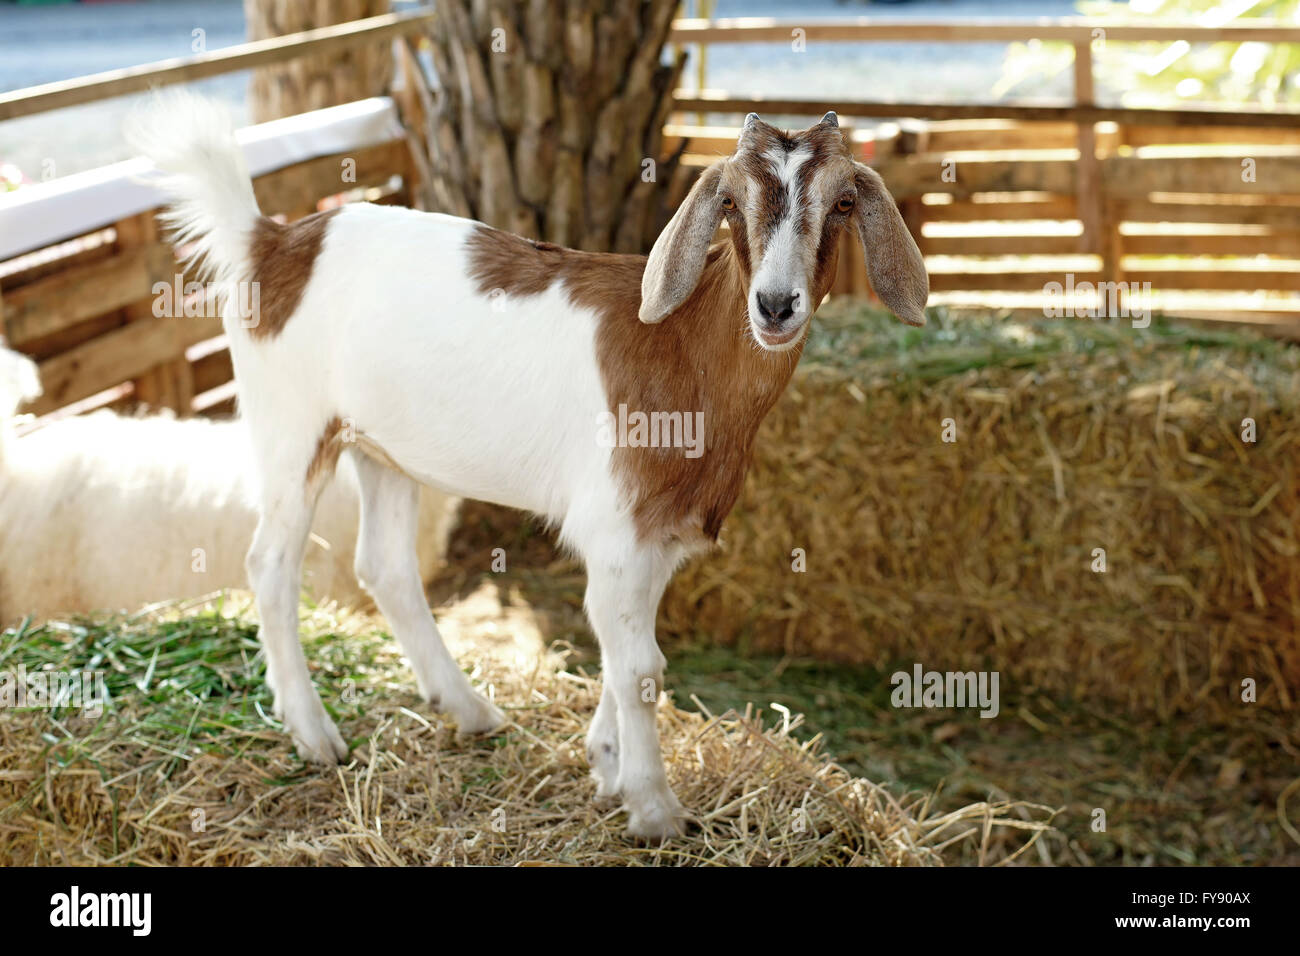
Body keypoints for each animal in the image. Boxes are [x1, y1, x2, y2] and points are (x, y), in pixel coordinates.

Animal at [131, 96, 928, 840]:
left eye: (844, 202)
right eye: (731, 202)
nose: (775, 305)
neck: (680, 348)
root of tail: (271, 241)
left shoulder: (658, 534)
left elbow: (627, 648)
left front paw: (608, 764)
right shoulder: (615, 526)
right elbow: (640, 667)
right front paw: (655, 809)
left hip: (382, 448)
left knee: (383, 566)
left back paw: (468, 709)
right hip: (292, 426)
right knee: (270, 563)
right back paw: (315, 734)